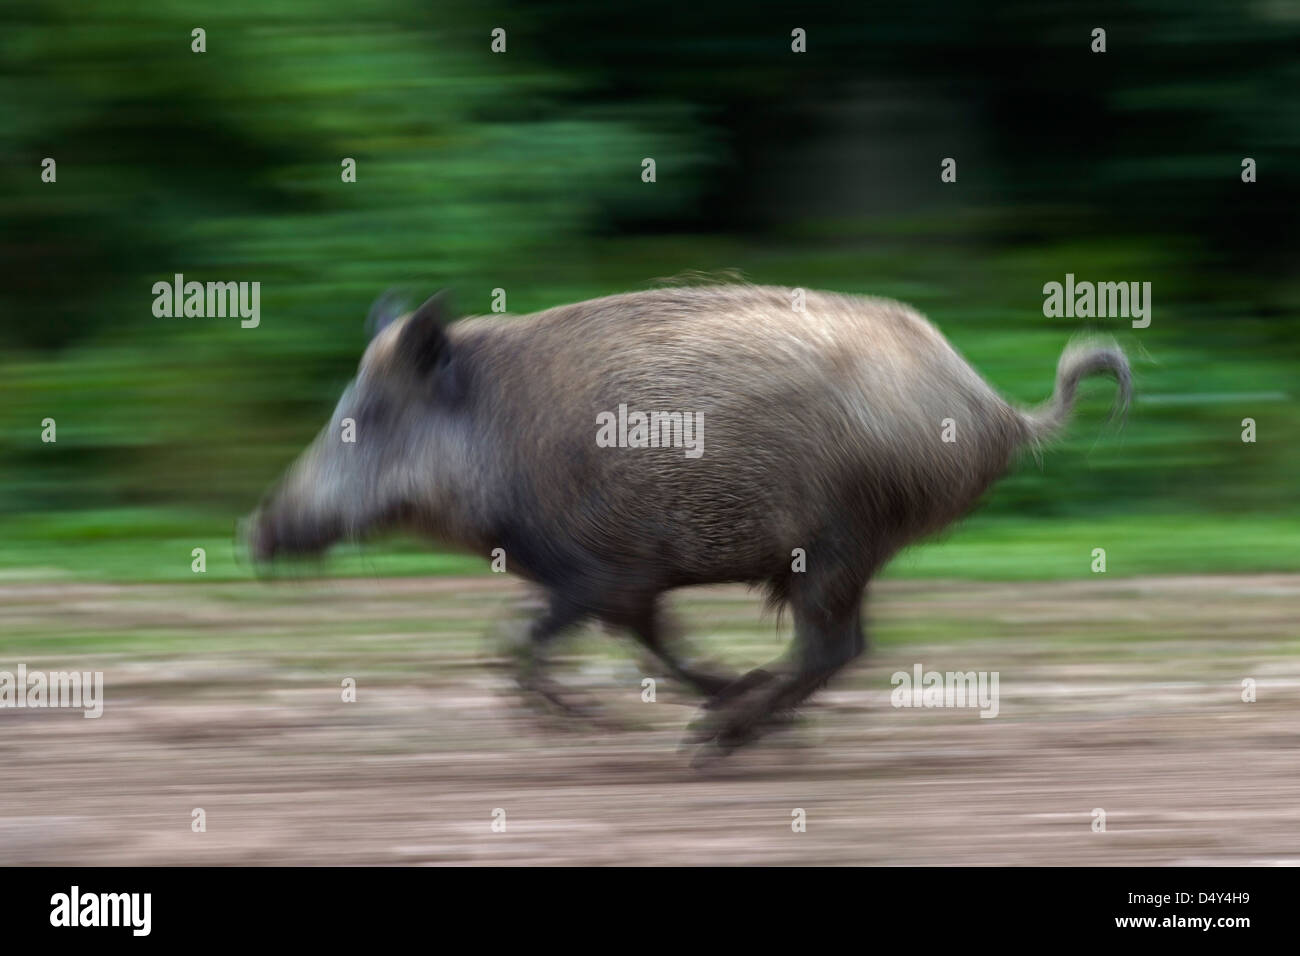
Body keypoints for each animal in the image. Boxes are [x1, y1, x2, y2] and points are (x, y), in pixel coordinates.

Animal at [247, 285, 1130, 757]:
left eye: (366, 416)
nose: (254, 531)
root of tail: (995, 410)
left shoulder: (600, 571)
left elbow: (519, 644)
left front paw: (592, 724)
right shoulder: (623, 586)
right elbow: (645, 648)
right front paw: (706, 689)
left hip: (838, 543)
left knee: (836, 647)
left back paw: (711, 746)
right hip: (842, 553)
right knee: (842, 648)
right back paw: (738, 724)